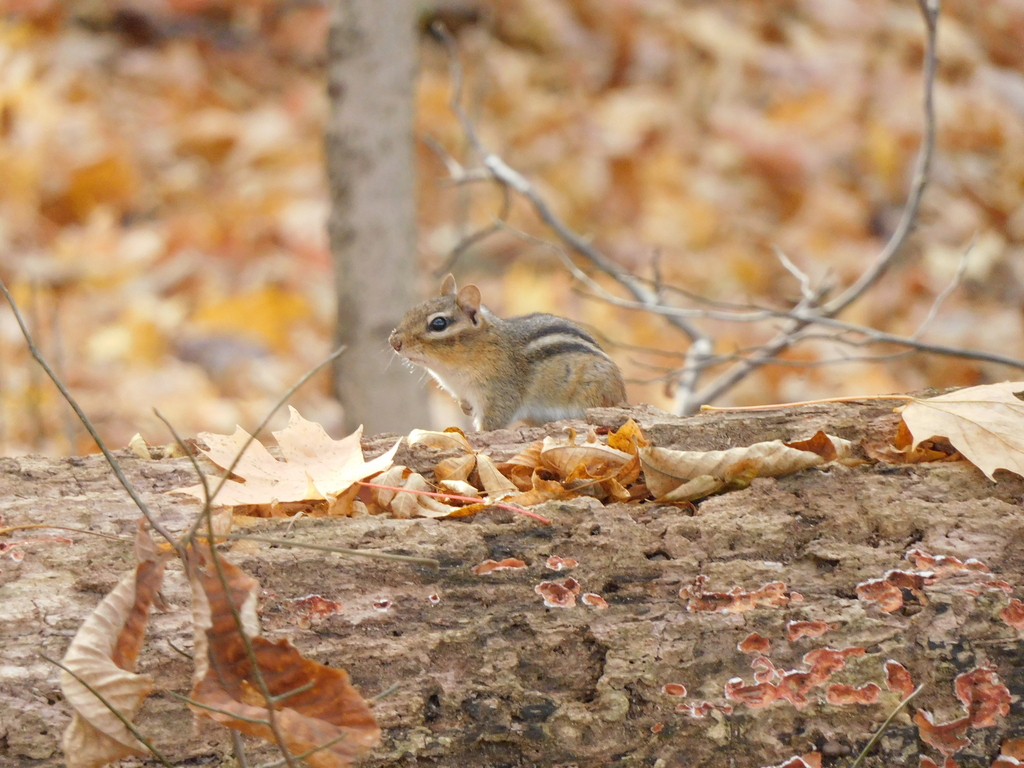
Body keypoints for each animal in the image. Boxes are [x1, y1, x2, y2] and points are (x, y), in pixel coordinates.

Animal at [389, 274, 627, 431]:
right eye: (411, 311)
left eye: (438, 324)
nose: (394, 341)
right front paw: (466, 409)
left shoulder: (499, 394)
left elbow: (491, 425)